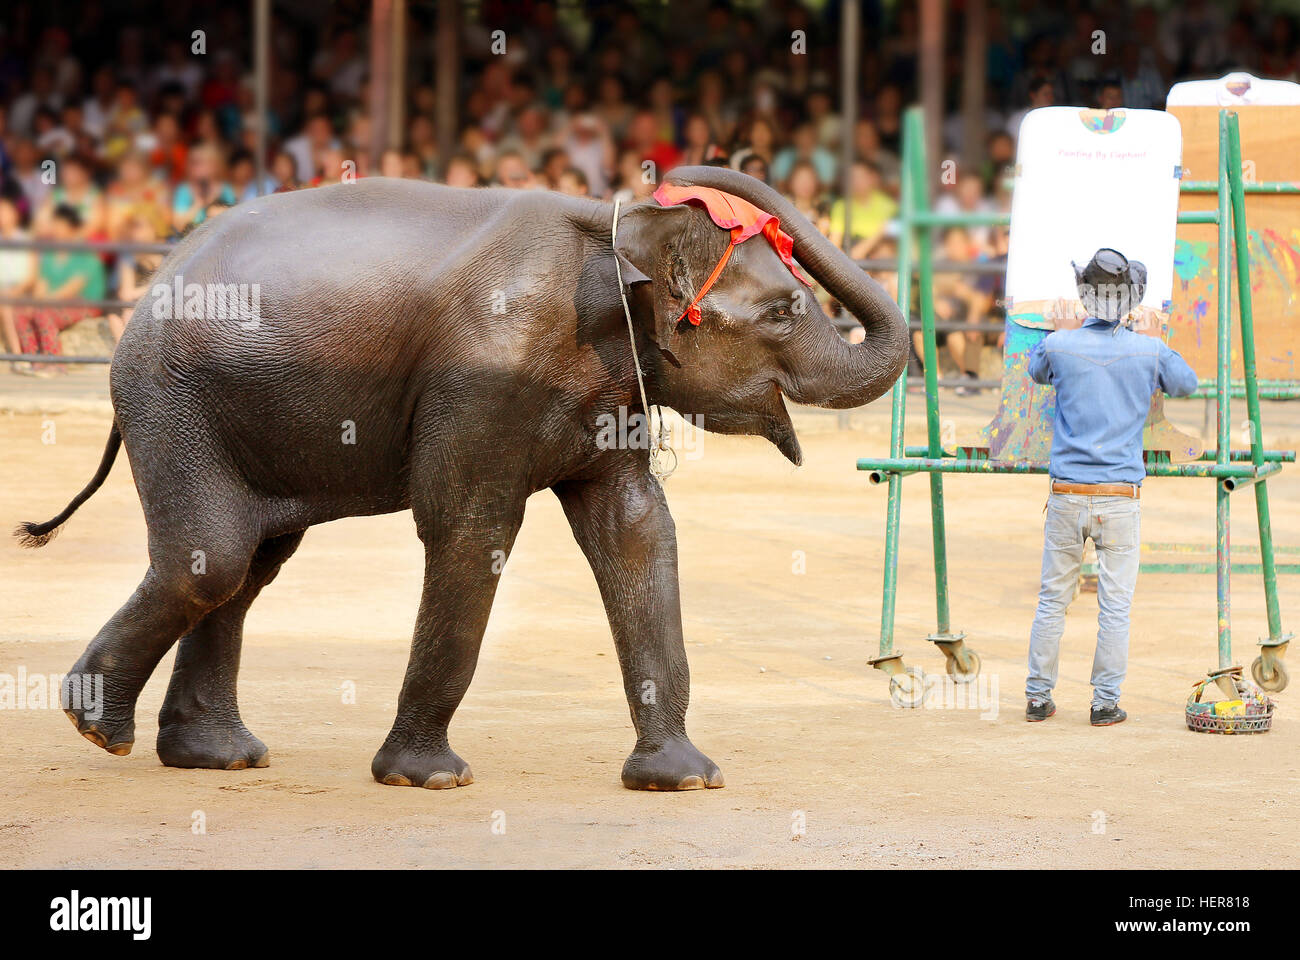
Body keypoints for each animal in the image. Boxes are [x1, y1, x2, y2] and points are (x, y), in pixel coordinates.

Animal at [16, 166, 907, 791]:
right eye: (786, 312)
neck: (615, 237)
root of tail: (160, 271)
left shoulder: (608, 387)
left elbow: (636, 527)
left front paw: (687, 778)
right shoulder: (484, 372)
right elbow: (470, 530)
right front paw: (430, 778)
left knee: (250, 565)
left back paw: (215, 757)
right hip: (172, 394)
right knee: (214, 558)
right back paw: (98, 729)